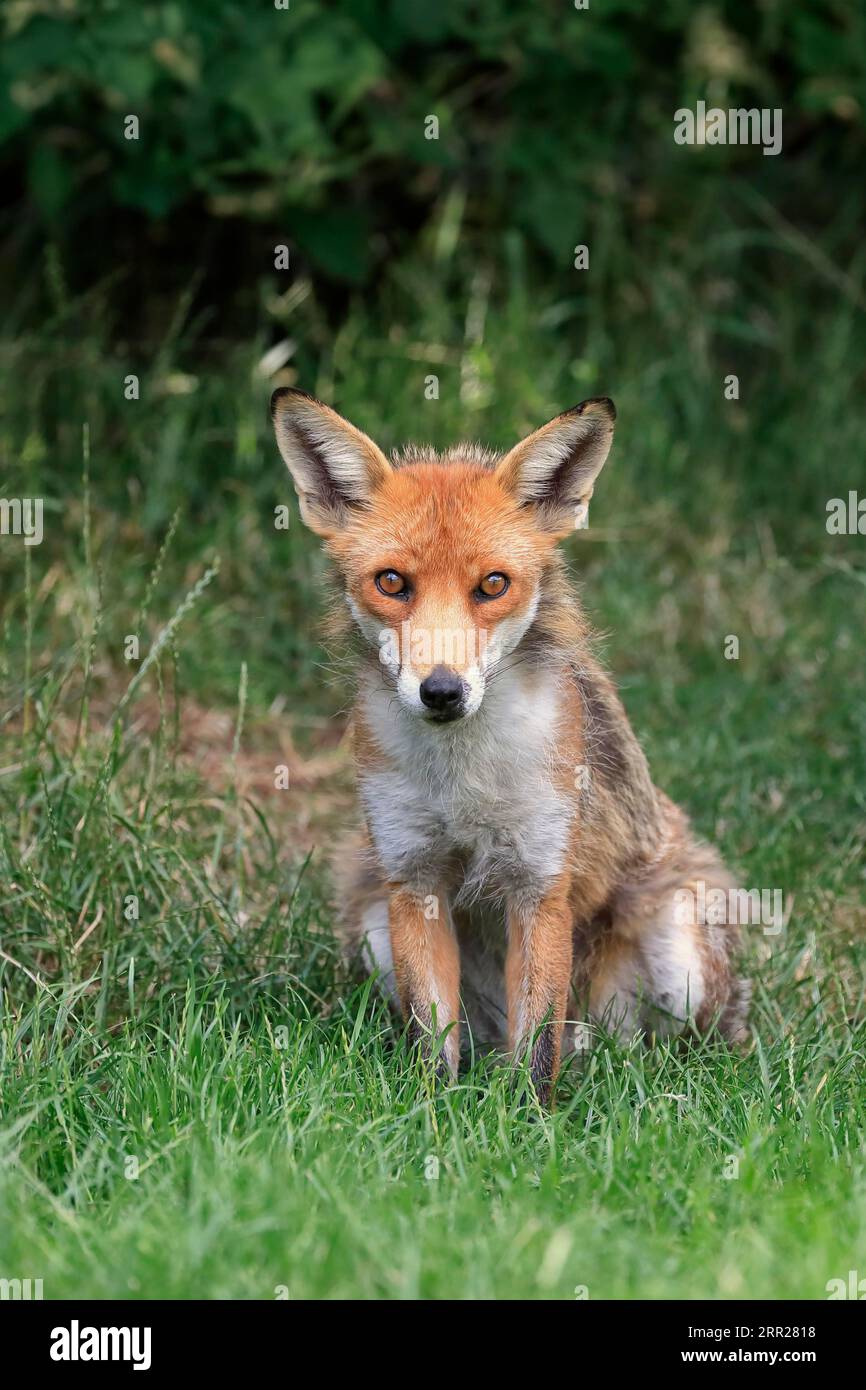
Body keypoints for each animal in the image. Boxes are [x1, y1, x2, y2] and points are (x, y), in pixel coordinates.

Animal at [271, 387, 750, 1103]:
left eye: (492, 585)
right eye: (392, 583)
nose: (442, 691)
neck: (462, 780)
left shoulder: (540, 883)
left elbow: (539, 1049)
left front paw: (529, 1122)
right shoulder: (412, 878)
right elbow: (430, 1046)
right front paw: (430, 1118)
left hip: (681, 959)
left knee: (631, 1052)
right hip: (372, 923)